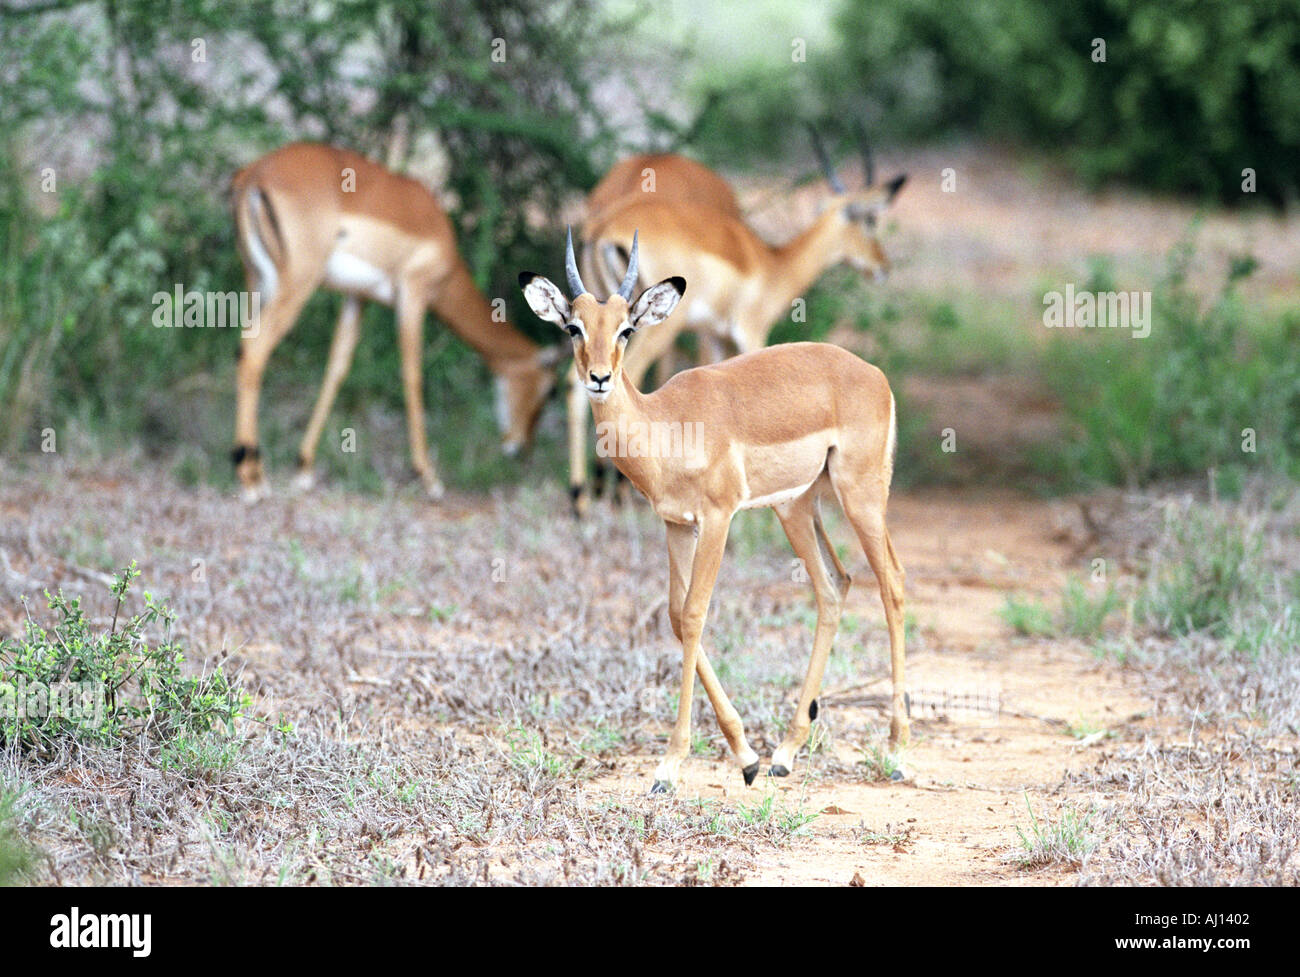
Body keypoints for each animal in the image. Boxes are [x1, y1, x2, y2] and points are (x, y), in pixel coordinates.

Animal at [229, 142, 558, 501]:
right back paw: (252, 481)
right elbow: (413, 375)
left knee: (245, 348)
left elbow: (336, 369)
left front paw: (304, 467)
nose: (520, 447)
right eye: (548, 391)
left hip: (257, 282)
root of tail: (254, 172)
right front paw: (429, 476)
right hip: (296, 285)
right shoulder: (412, 296)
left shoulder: (357, 298)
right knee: (254, 351)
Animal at [520, 231, 908, 792]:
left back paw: (898, 752)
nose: (599, 377)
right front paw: (746, 758)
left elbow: (697, 613)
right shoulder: (675, 525)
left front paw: (669, 767)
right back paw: (785, 752)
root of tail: (875, 375)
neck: (666, 425)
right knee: (835, 586)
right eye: (574, 326)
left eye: (626, 328)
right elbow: (676, 616)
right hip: (797, 506)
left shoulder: (719, 519)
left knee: (892, 584)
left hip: (861, 495)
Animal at [566, 129, 906, 515]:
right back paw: (616, 494)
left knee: (575, 383)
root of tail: (602, 228)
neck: (772, 265)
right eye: (870, 221)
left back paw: (580, 497)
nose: (882, 267)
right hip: (657, 328)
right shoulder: (751, 333)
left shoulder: (717, 338)